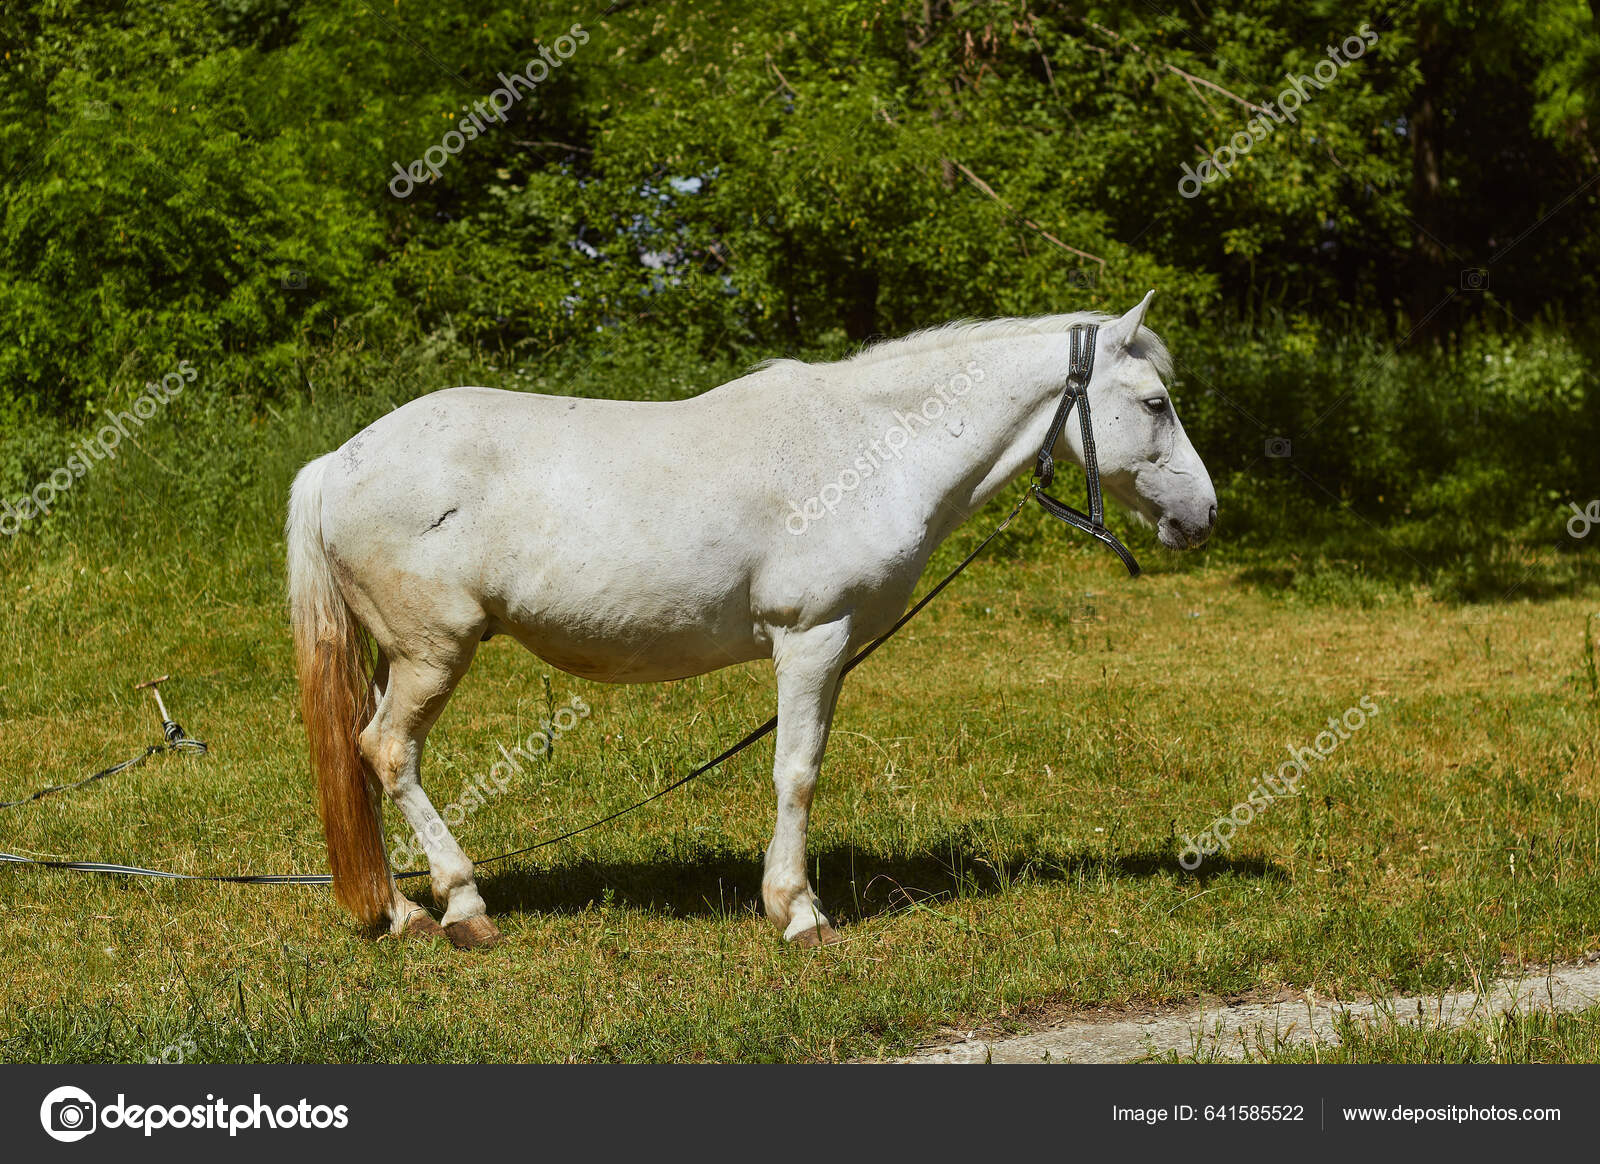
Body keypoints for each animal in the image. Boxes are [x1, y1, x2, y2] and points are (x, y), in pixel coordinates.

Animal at [285, 291, 1216, 949]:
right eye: (1156, 403)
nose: (1204, 514)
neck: (872, 446)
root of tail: (340, 460)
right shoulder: (813, 638)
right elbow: (797, 773)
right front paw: (797, 912)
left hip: (396, 656)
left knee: (367, 758)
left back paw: (397, 908)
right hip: (433, 652)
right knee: (388, 752)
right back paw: (456, 907)